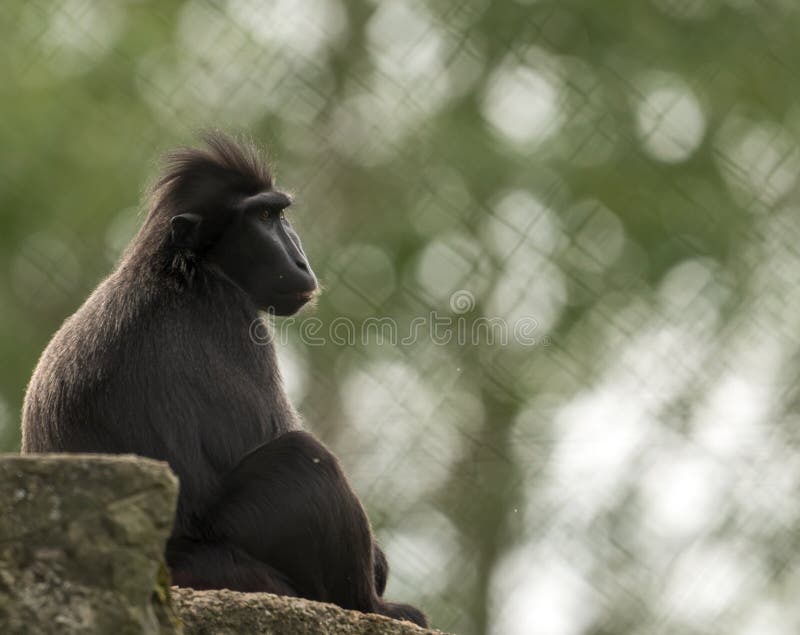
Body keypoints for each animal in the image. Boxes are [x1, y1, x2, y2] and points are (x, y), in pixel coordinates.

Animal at [20, 132, 426, 627]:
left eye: (280, 214)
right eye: (265, 217)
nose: (301, 260)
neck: (182, 265)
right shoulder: (230, 313)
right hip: (223, 564)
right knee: (302, 460)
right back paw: (374, 607)